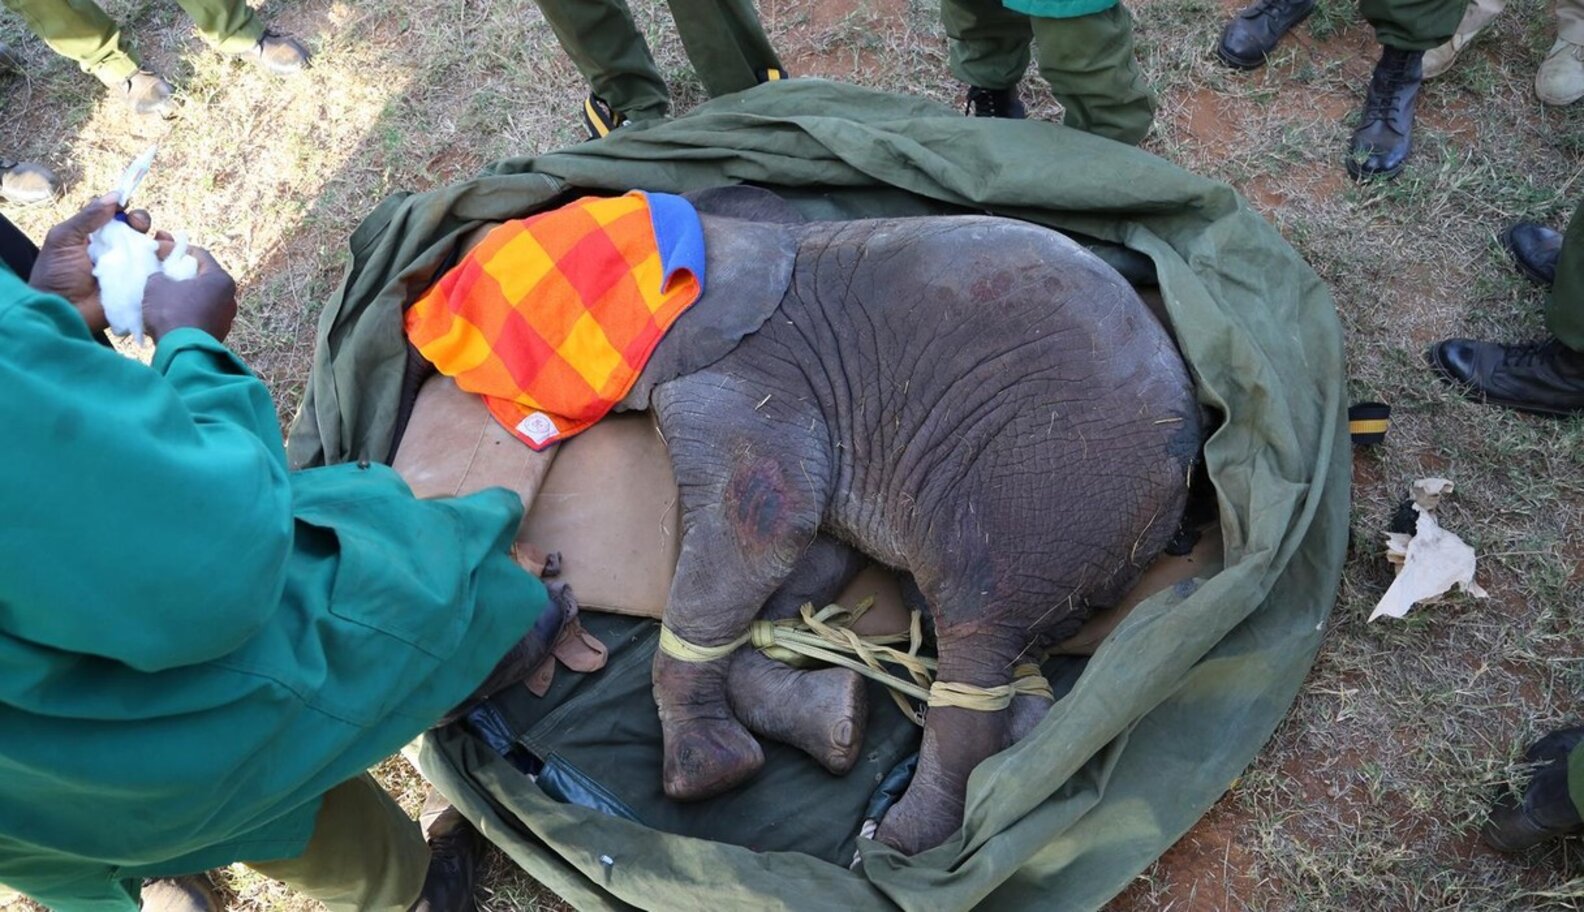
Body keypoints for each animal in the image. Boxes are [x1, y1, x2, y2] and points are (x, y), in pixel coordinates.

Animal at [598, 186, 1203, 855]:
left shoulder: (742, 369)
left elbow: (766, 516)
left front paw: (708, 774)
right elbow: (813, 545)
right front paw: (838, 725)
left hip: (1039, 486)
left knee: (974, 631)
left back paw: (895, 841)